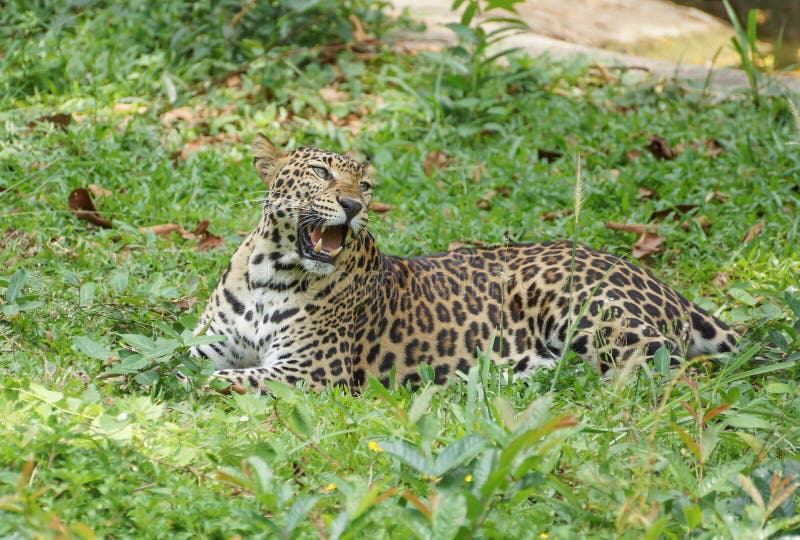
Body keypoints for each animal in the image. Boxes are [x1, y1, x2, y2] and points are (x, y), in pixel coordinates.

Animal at [190, 134, 739, 392]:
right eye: (322, 174)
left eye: (364, 185)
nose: (353, 206)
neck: (272, 273)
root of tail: (660, 281)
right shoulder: (214, 342)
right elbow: (184, 360)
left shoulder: (310, 371)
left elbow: (222, 380)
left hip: (587, 312)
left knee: (659, 372)